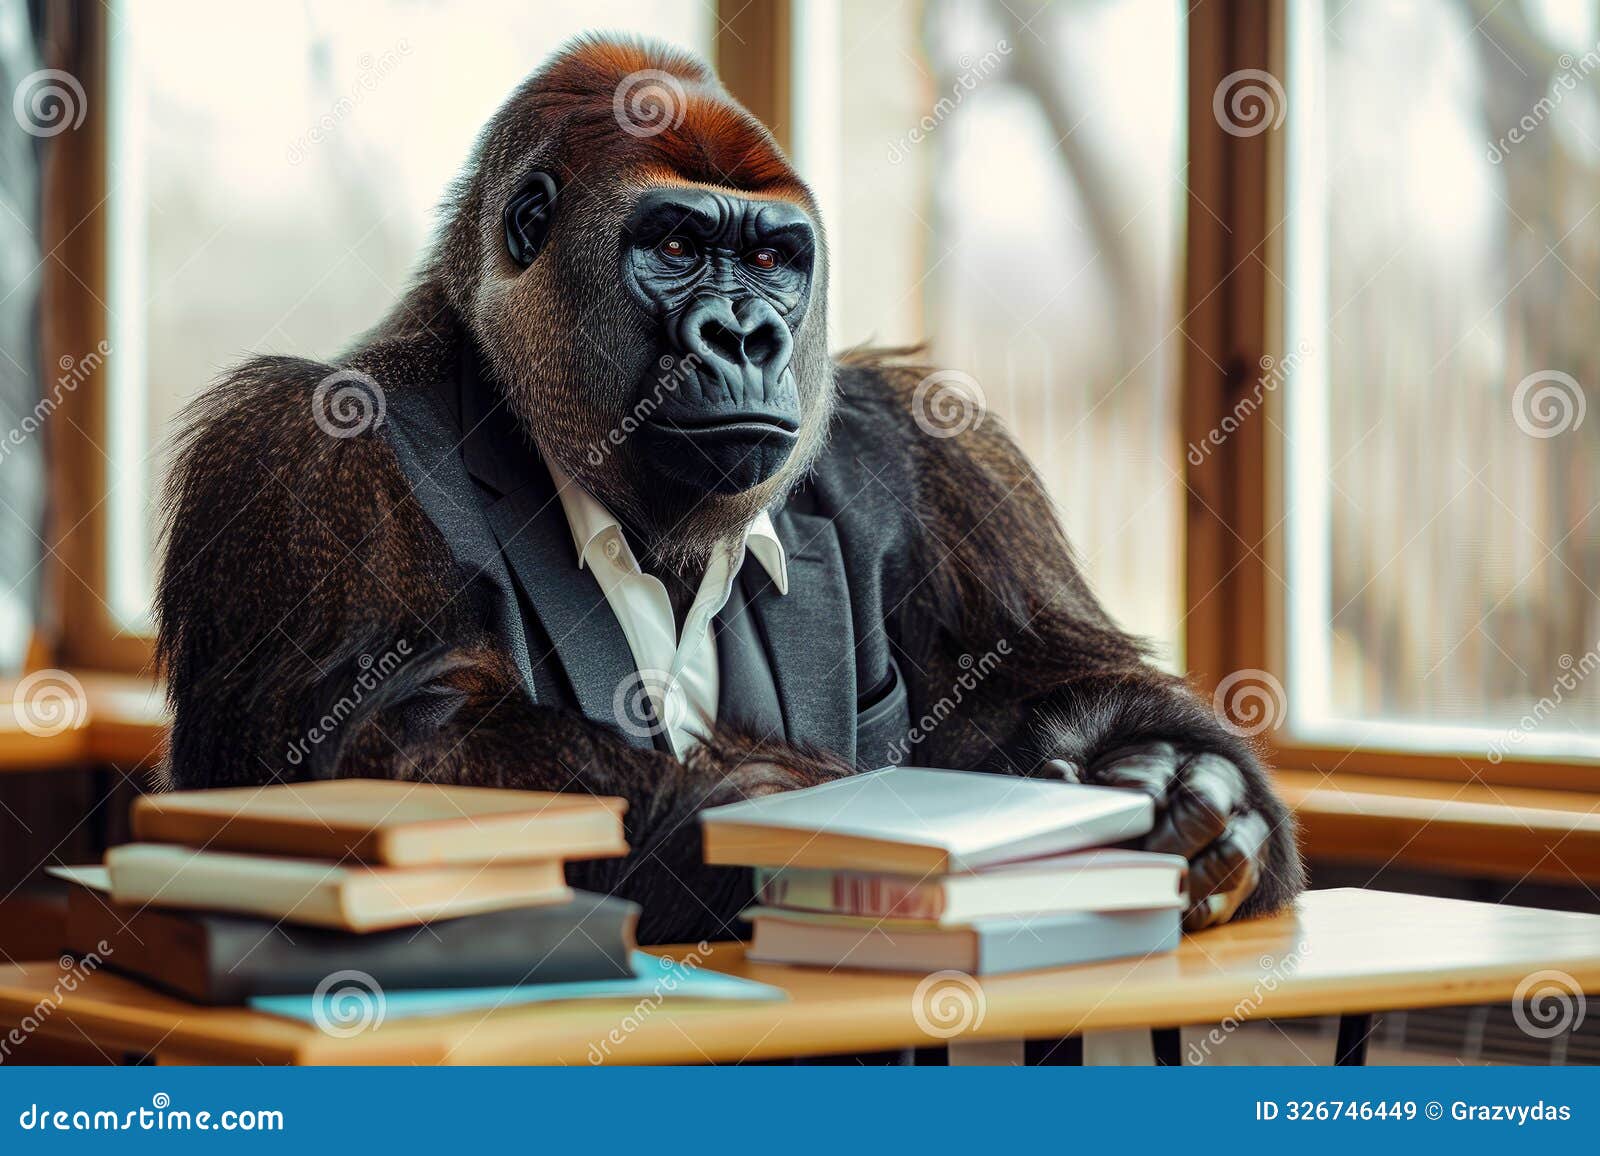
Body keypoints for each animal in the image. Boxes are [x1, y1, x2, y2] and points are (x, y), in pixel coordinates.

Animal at [155, 35, 1304, 946]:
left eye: (770, 258)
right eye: (675, 244)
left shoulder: (940, 450)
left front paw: (1182, 783)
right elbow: (395, 753)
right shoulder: (302, 458)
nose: (746, 337)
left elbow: (1041, 680)